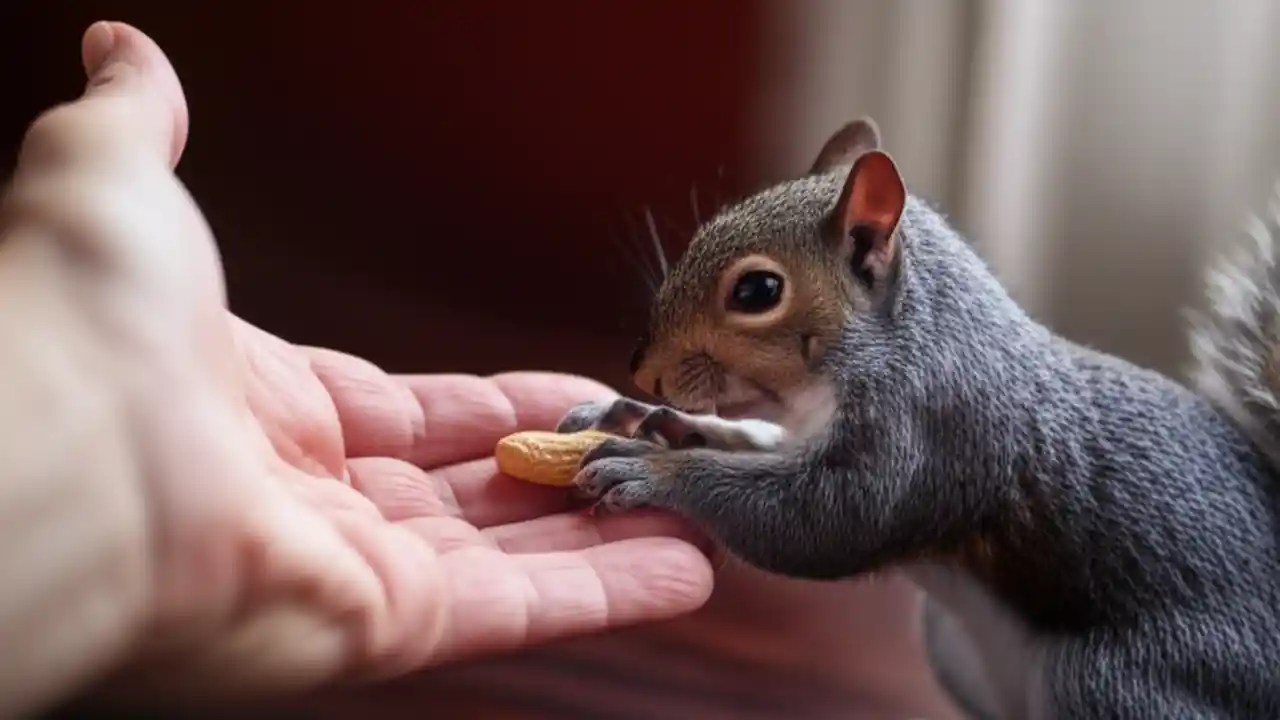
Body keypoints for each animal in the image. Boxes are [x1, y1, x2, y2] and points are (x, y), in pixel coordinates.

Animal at [555, 117, 1280, 719]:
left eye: (758, 290)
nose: (643, 370)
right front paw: (645, 418)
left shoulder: (928, 439)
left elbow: (820, 521)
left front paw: (654, 468)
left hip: (1123, 680)